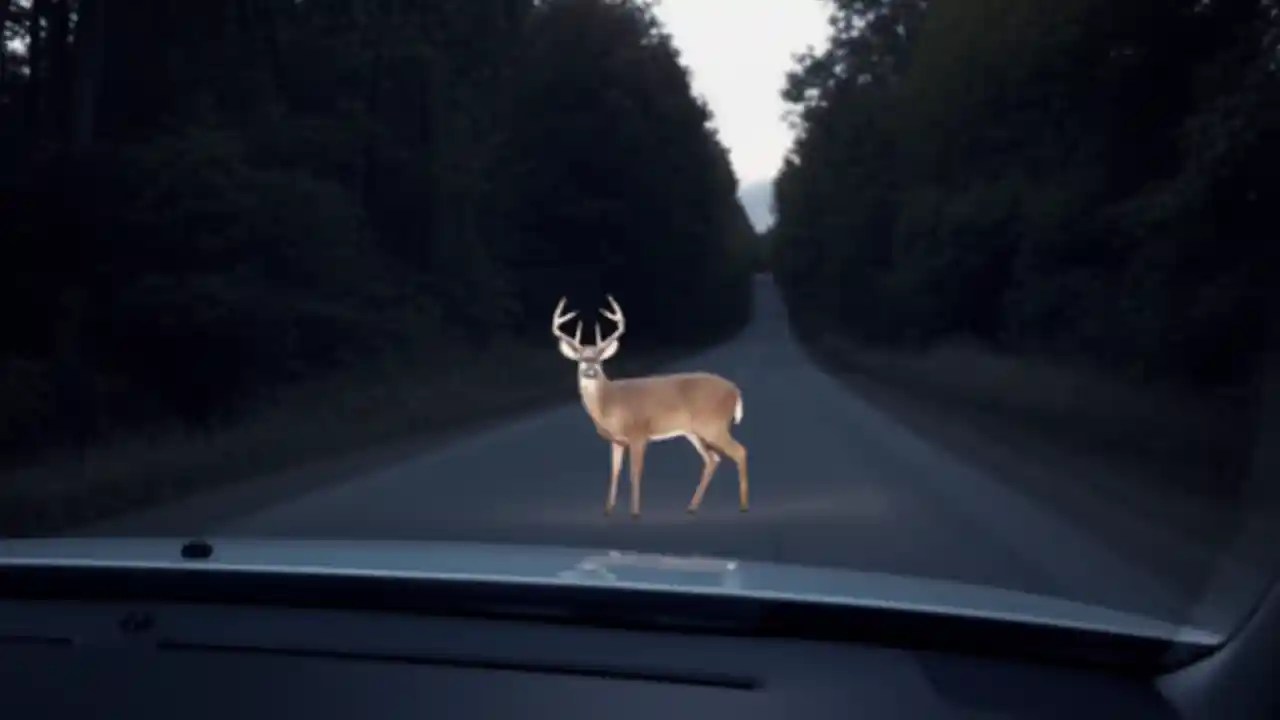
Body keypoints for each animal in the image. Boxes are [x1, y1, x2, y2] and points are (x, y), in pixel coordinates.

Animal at [552, 295, 748, 518]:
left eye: (599, 359)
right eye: (580, 359)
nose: (590, 371)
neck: (609, 402)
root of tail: (735, 391)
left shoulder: (638, 433)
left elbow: (635, 473)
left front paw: (635, 512)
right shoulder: (617, 440)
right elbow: (614, 472)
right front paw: (608, 510)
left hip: (713, 425)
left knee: (740, 451)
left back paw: (743, 505)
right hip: (695, 431)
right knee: (713, 459)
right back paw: (691, 507)